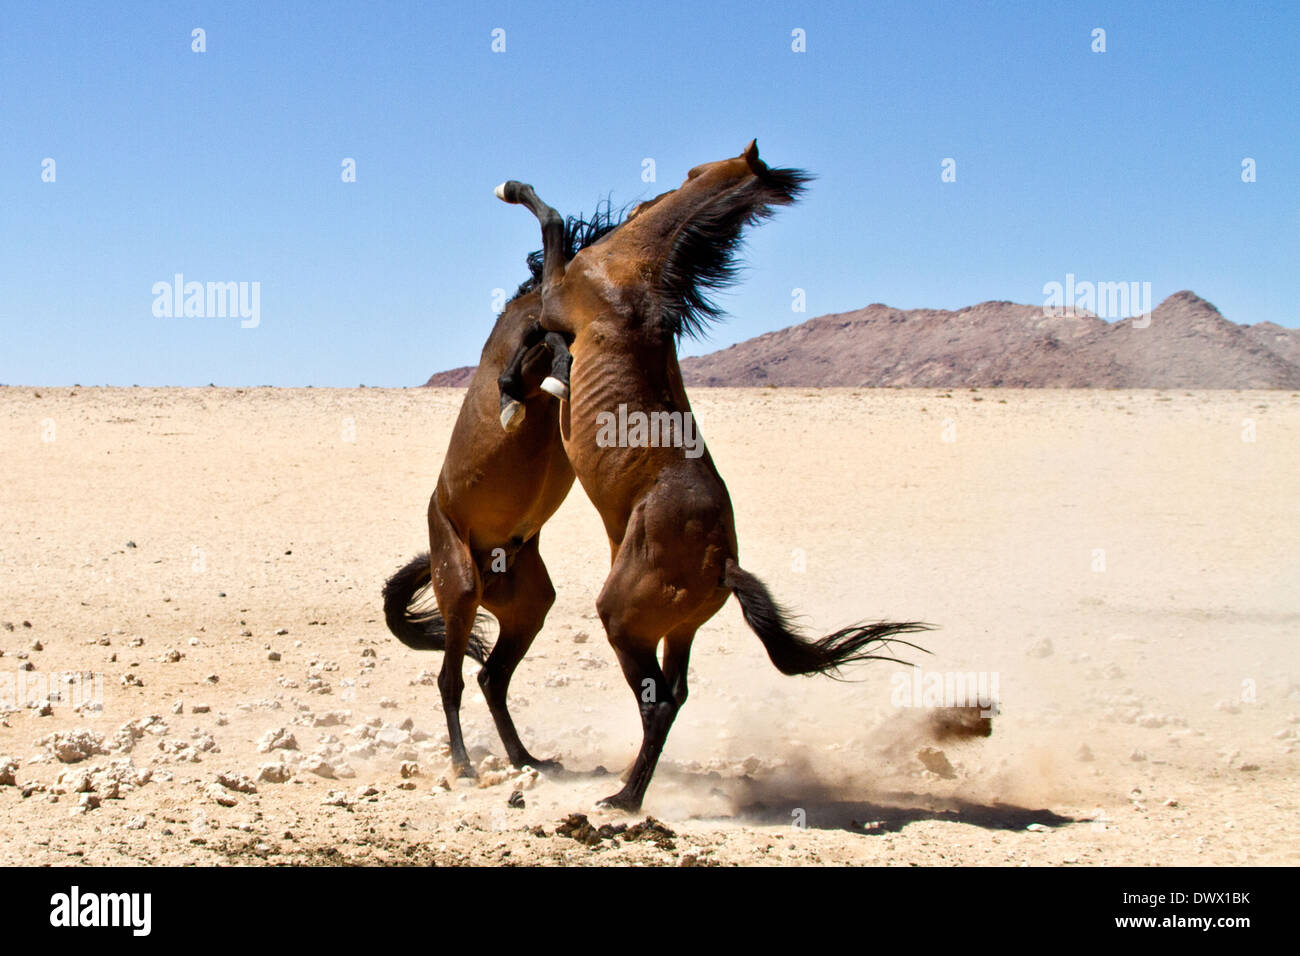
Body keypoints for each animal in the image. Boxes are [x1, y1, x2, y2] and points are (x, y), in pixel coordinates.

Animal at [382, 208, 619, 776]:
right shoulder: (531, 354)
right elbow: (542, 350)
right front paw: (525, 392)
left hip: (528, 606)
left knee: (492, 678)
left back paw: (527, 758)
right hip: (462, 589)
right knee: (452, 680)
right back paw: (463, 763)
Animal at [496, 141, 930, 810]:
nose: (660, 190)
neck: (632, 277)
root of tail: (723, 564)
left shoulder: (555, 297)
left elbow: (550, 225)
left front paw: (513, 190)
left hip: (624, 621)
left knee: (656, 702)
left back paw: (624, 800)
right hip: (678, 630)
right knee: (674, 697)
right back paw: (629, 791)